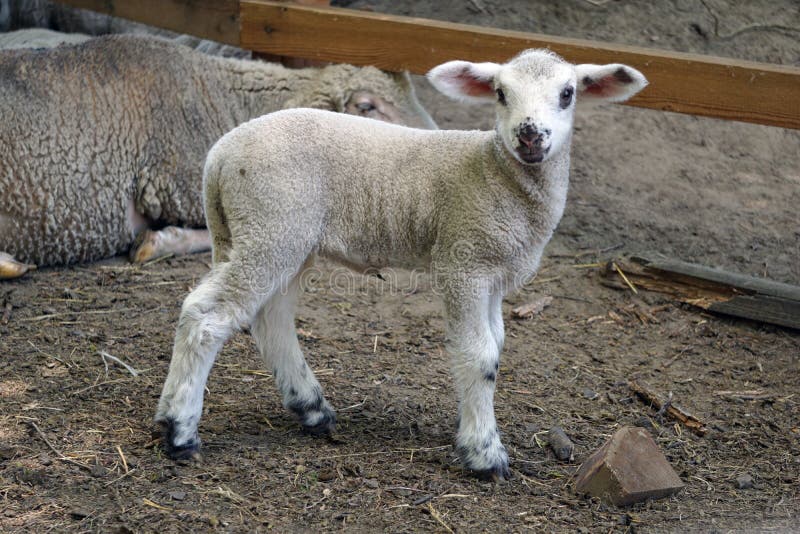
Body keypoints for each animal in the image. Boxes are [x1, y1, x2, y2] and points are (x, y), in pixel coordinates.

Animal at [154, 49, 647, 479]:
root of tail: (219, 156)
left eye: (567, 93)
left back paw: (311, 409)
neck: (495, 174)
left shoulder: (492, 275)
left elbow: (497, 346)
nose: (529, 135)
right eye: (500, 93)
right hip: (272, 225)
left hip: (282, 236)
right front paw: (484, 453)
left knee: (269, 318)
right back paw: (179, 431)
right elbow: (479, 355)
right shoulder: (464, 260)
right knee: (206, 316)